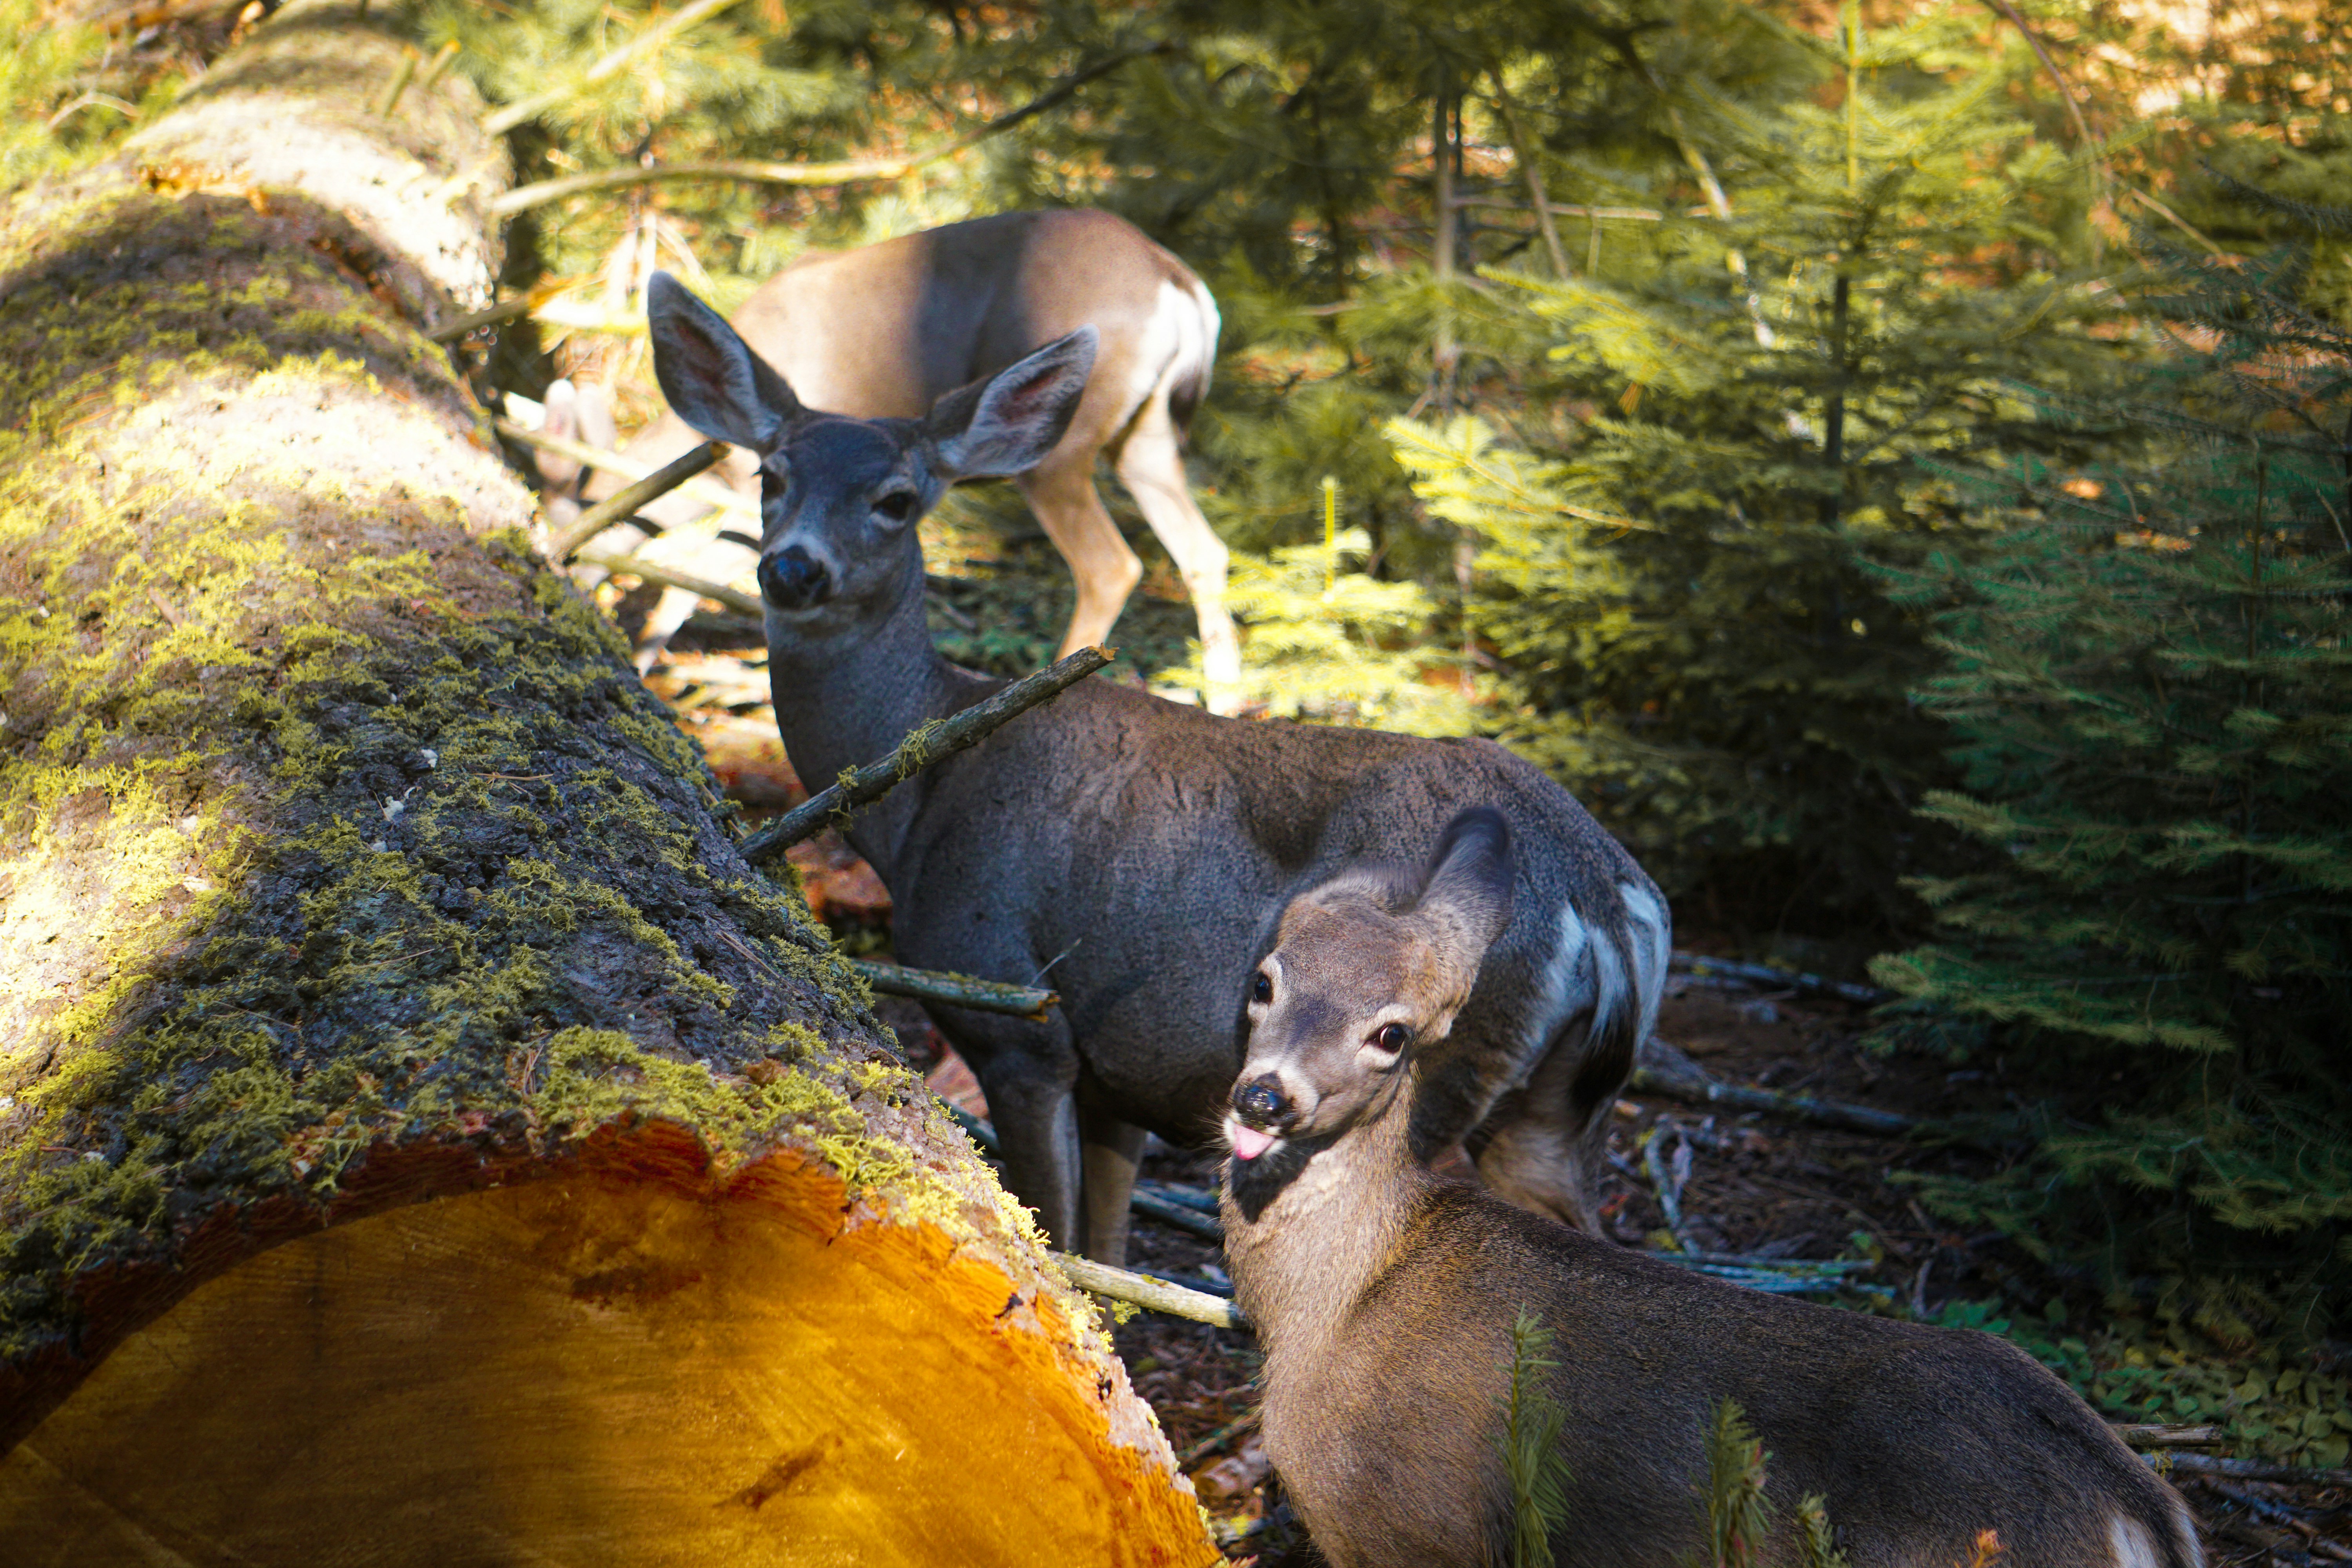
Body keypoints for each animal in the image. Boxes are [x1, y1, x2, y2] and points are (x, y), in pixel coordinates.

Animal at [534, 208, 1241, 707]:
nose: (554, 588)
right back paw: (1228, 705)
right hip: (1145, 436)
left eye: (568, 523)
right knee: (1204, 550)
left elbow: (686, 585)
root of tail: (1177, 279)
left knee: (1111, 565)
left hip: (1059, 448)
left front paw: (639, 672)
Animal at [643, 269, 1672, 1267]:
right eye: (771, 475)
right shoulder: (1122, 1074)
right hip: (1558, 1110)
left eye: (897, 499)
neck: (916, 807)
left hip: (1431, 1064)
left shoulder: (1018, 1014)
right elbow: (1110, 1256)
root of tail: (1603, 897)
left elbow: (1062, 1245)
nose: (793, 569)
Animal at [1219, 807, 2205, 1568]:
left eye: (1392, 1032)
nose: (1265, 1095)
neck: (1332, 1302)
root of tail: (2141, 1514)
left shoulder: (1407, 1525)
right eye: (1264, 980)